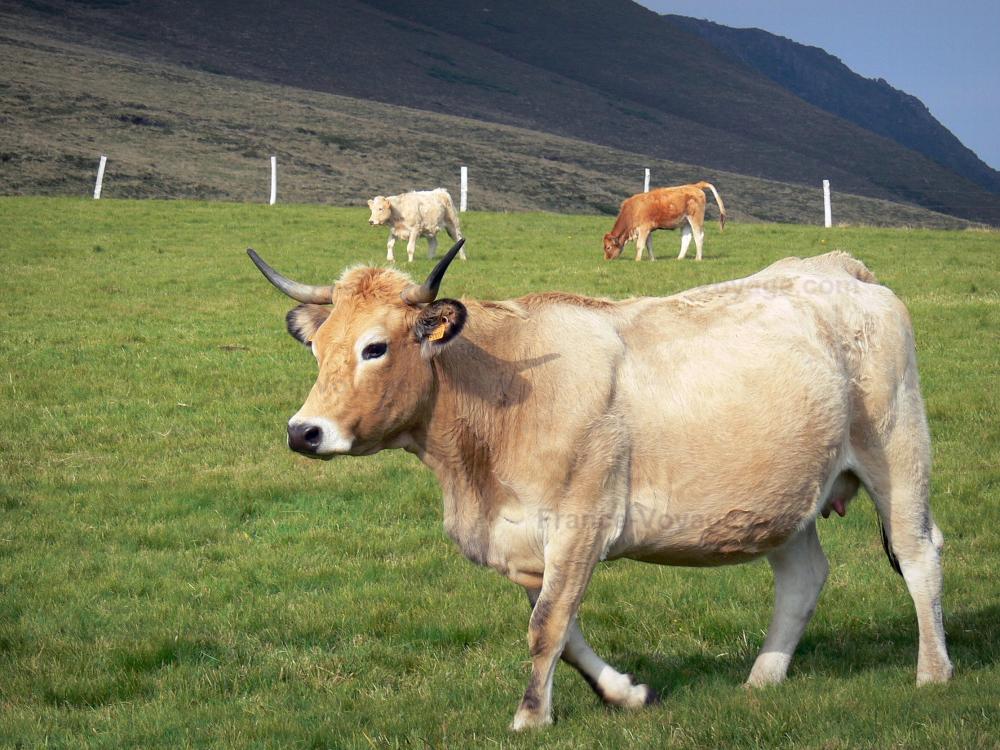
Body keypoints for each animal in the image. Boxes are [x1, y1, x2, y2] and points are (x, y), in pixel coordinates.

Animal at [247, 241, 952, 731]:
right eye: (319, 350)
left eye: (375, 348)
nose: (304, 432)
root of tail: (837, 267)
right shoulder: (526, 540)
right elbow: (564, 630)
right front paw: (627, 693)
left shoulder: (582, 520)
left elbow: (547, 626)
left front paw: (530, 718)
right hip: (784, 496)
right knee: (804, 578)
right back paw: (762, 679)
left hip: (897, 451)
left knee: (919, 555)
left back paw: (934, 672)